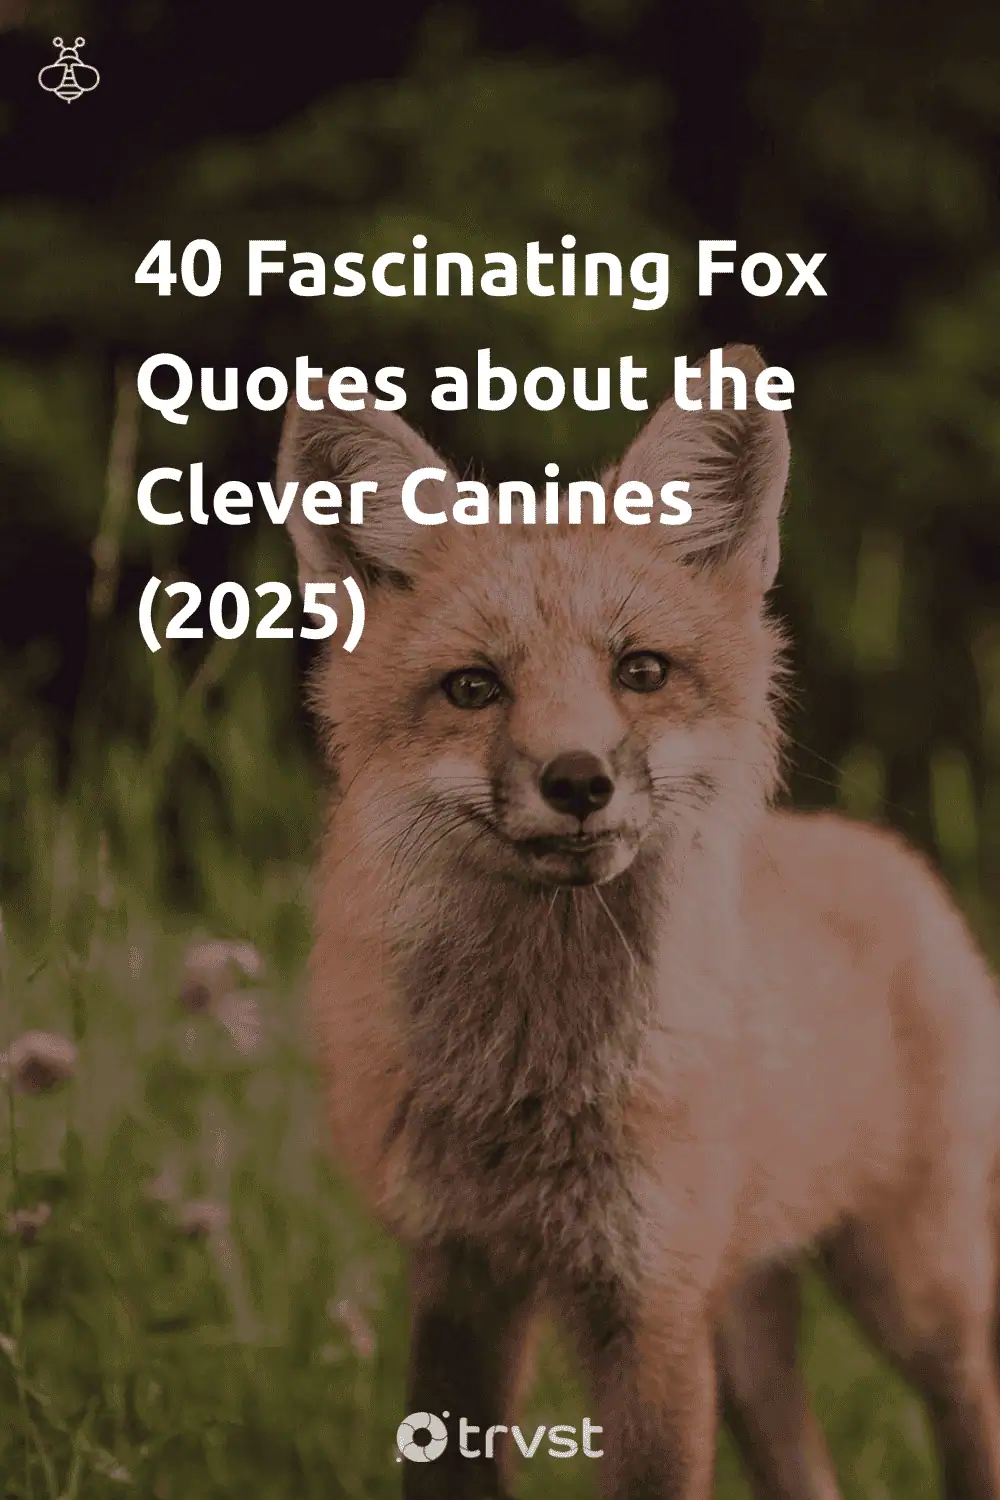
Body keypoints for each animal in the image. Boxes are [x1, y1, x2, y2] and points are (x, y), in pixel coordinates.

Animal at [277, 345, 1000, 1500]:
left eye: (641, 671)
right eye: (473, 688)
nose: (579, 781)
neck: (532, 1082)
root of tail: (891, 855)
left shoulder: (647, 1305)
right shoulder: (460, 1274)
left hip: (911, 1291)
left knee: (971, 1414)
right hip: (743, 1329)